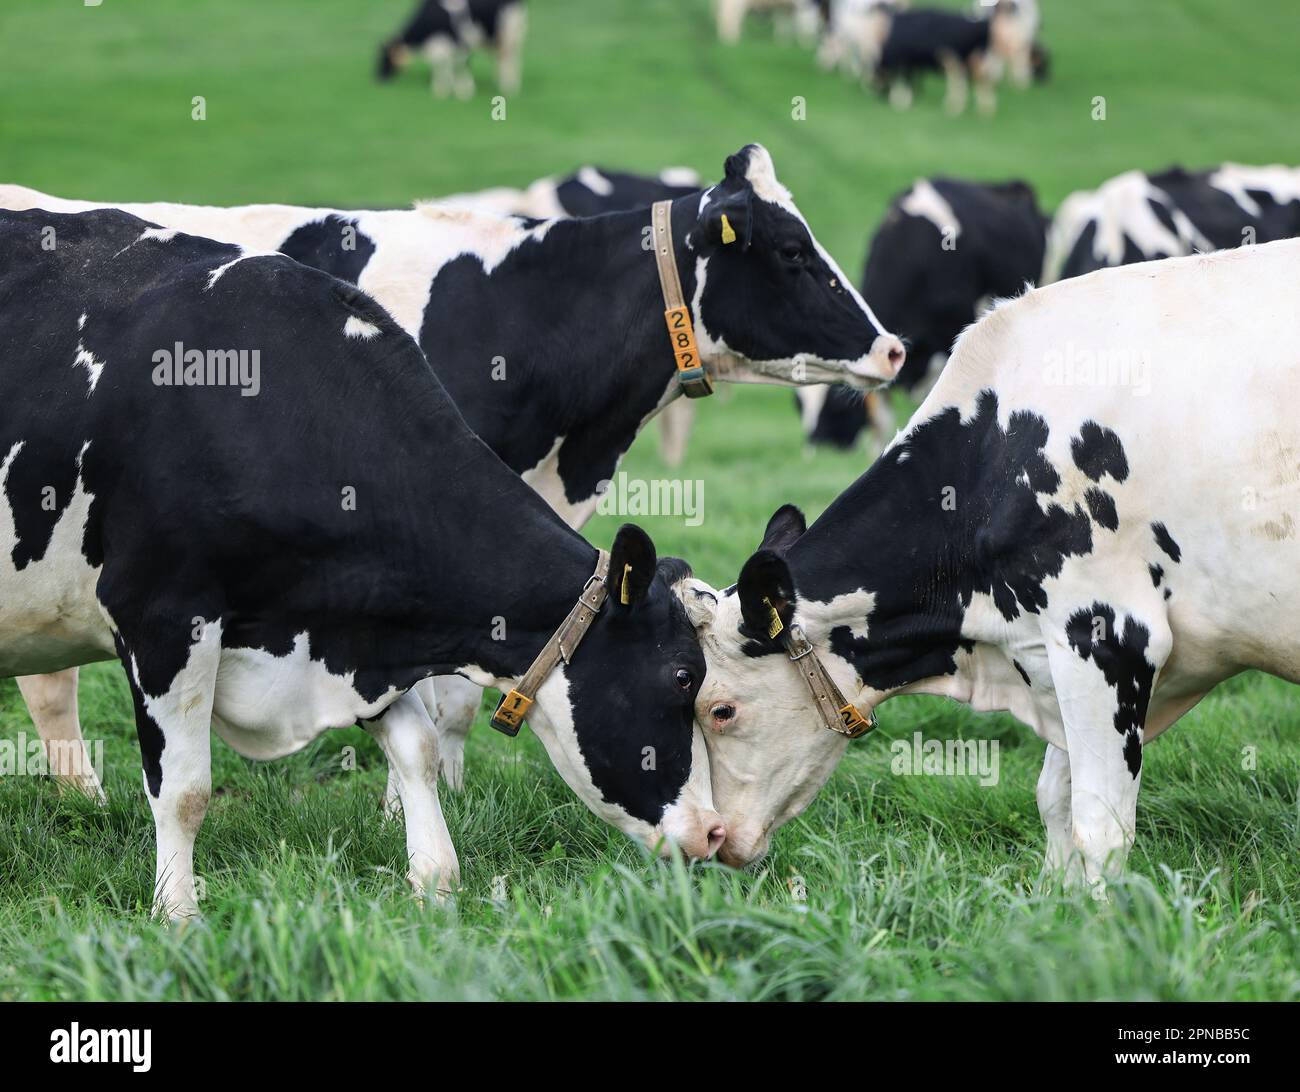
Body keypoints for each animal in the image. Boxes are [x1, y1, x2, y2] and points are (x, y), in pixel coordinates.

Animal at [0, 207, 732, 917]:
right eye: (681, 677)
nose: (714, 832)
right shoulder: (161, 621)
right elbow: (184, 790)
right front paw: (176, 914)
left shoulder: (361, 624)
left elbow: (419, 747)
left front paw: (435, 882)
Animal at [377, 0, 526, 98]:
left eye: (385, 58)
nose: (377, 78)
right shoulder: (442, 44)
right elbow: (443, 63)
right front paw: (443, 88)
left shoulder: (460, 40)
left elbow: (459, 64)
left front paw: (462, 92)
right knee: (502, 60)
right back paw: (500, 83)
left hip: (510, 34)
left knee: (510, 59)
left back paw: (509, 88)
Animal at [681, 239, 1300, 891]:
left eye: (719, 710)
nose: (716, 839)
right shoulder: (1054, 650)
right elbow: (1055, 799)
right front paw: (1057, 903)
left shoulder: (1109, 636)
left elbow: (1100, 827)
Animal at [874, 0, 1040, 114]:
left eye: (877, 75)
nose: (880, 96)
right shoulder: (913, 62)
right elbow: (913, 78)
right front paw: (914, 95)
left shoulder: (903, 60)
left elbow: (903, 80)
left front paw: (901, 102)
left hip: (974, 62)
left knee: (979, 82)